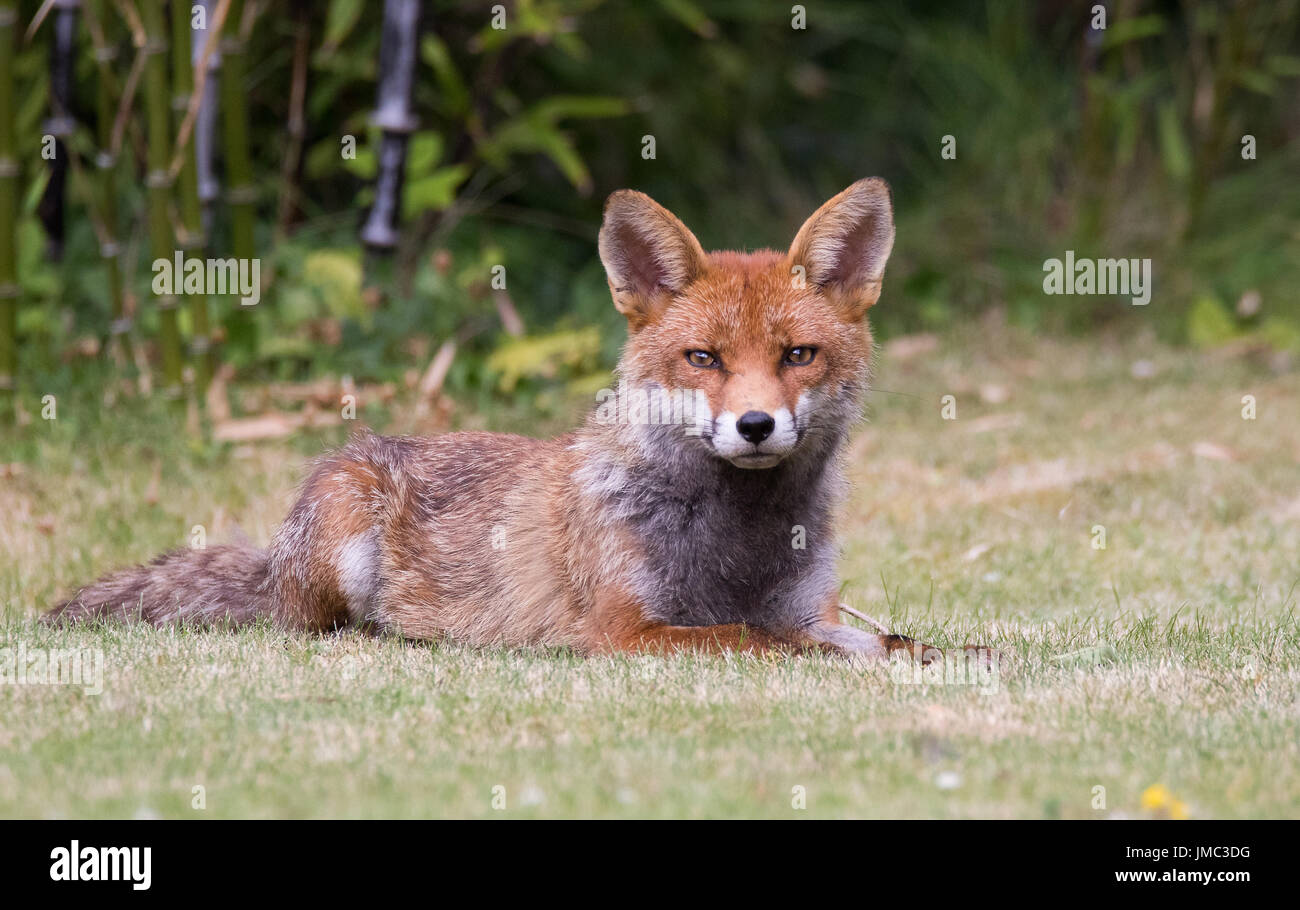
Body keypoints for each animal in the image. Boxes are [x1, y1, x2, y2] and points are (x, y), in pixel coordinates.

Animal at [48, 178, 944, 663]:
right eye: (703, 359)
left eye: (798, 356)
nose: (755, 425)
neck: (738, 540)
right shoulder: (627, 628)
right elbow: (762, 642)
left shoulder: (813, 609)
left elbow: (885, 641)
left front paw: (935, 656)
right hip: (342, 537)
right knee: (323, 632)